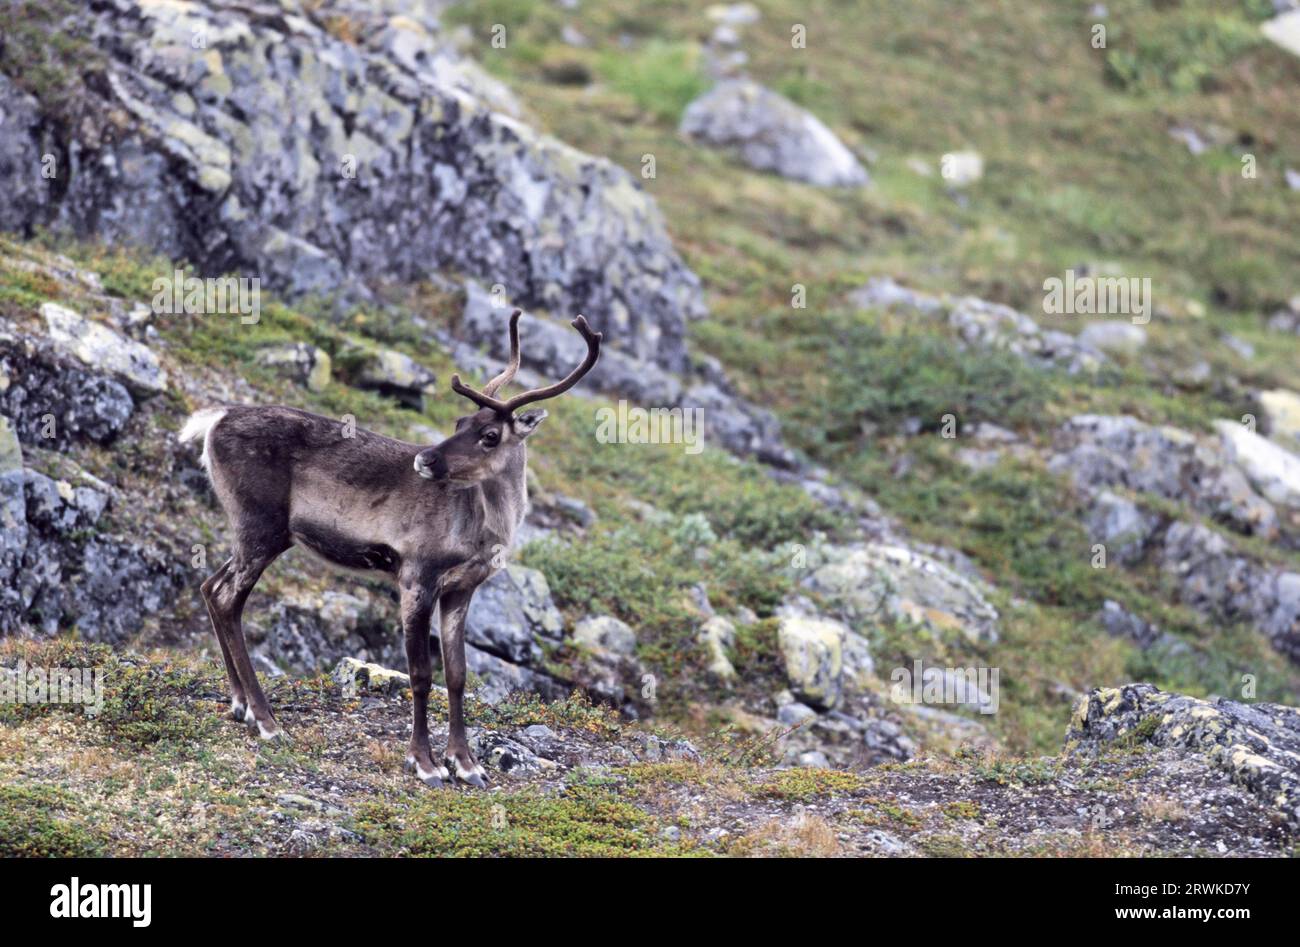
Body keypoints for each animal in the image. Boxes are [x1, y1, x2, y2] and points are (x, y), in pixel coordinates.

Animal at [179, 310, 601, 788]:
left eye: (490, 434)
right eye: (459, 422)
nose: (425, 460)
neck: (487, 526)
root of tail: (215, 419)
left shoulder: (462, 588)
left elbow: (457, 674)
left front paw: (467, 763)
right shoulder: (416, 576)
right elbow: (420, 674)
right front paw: (425, 763)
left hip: (252, 533)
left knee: (211, 587)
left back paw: (241, 706)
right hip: (262, 528)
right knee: (227, 597)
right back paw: (267, 721)